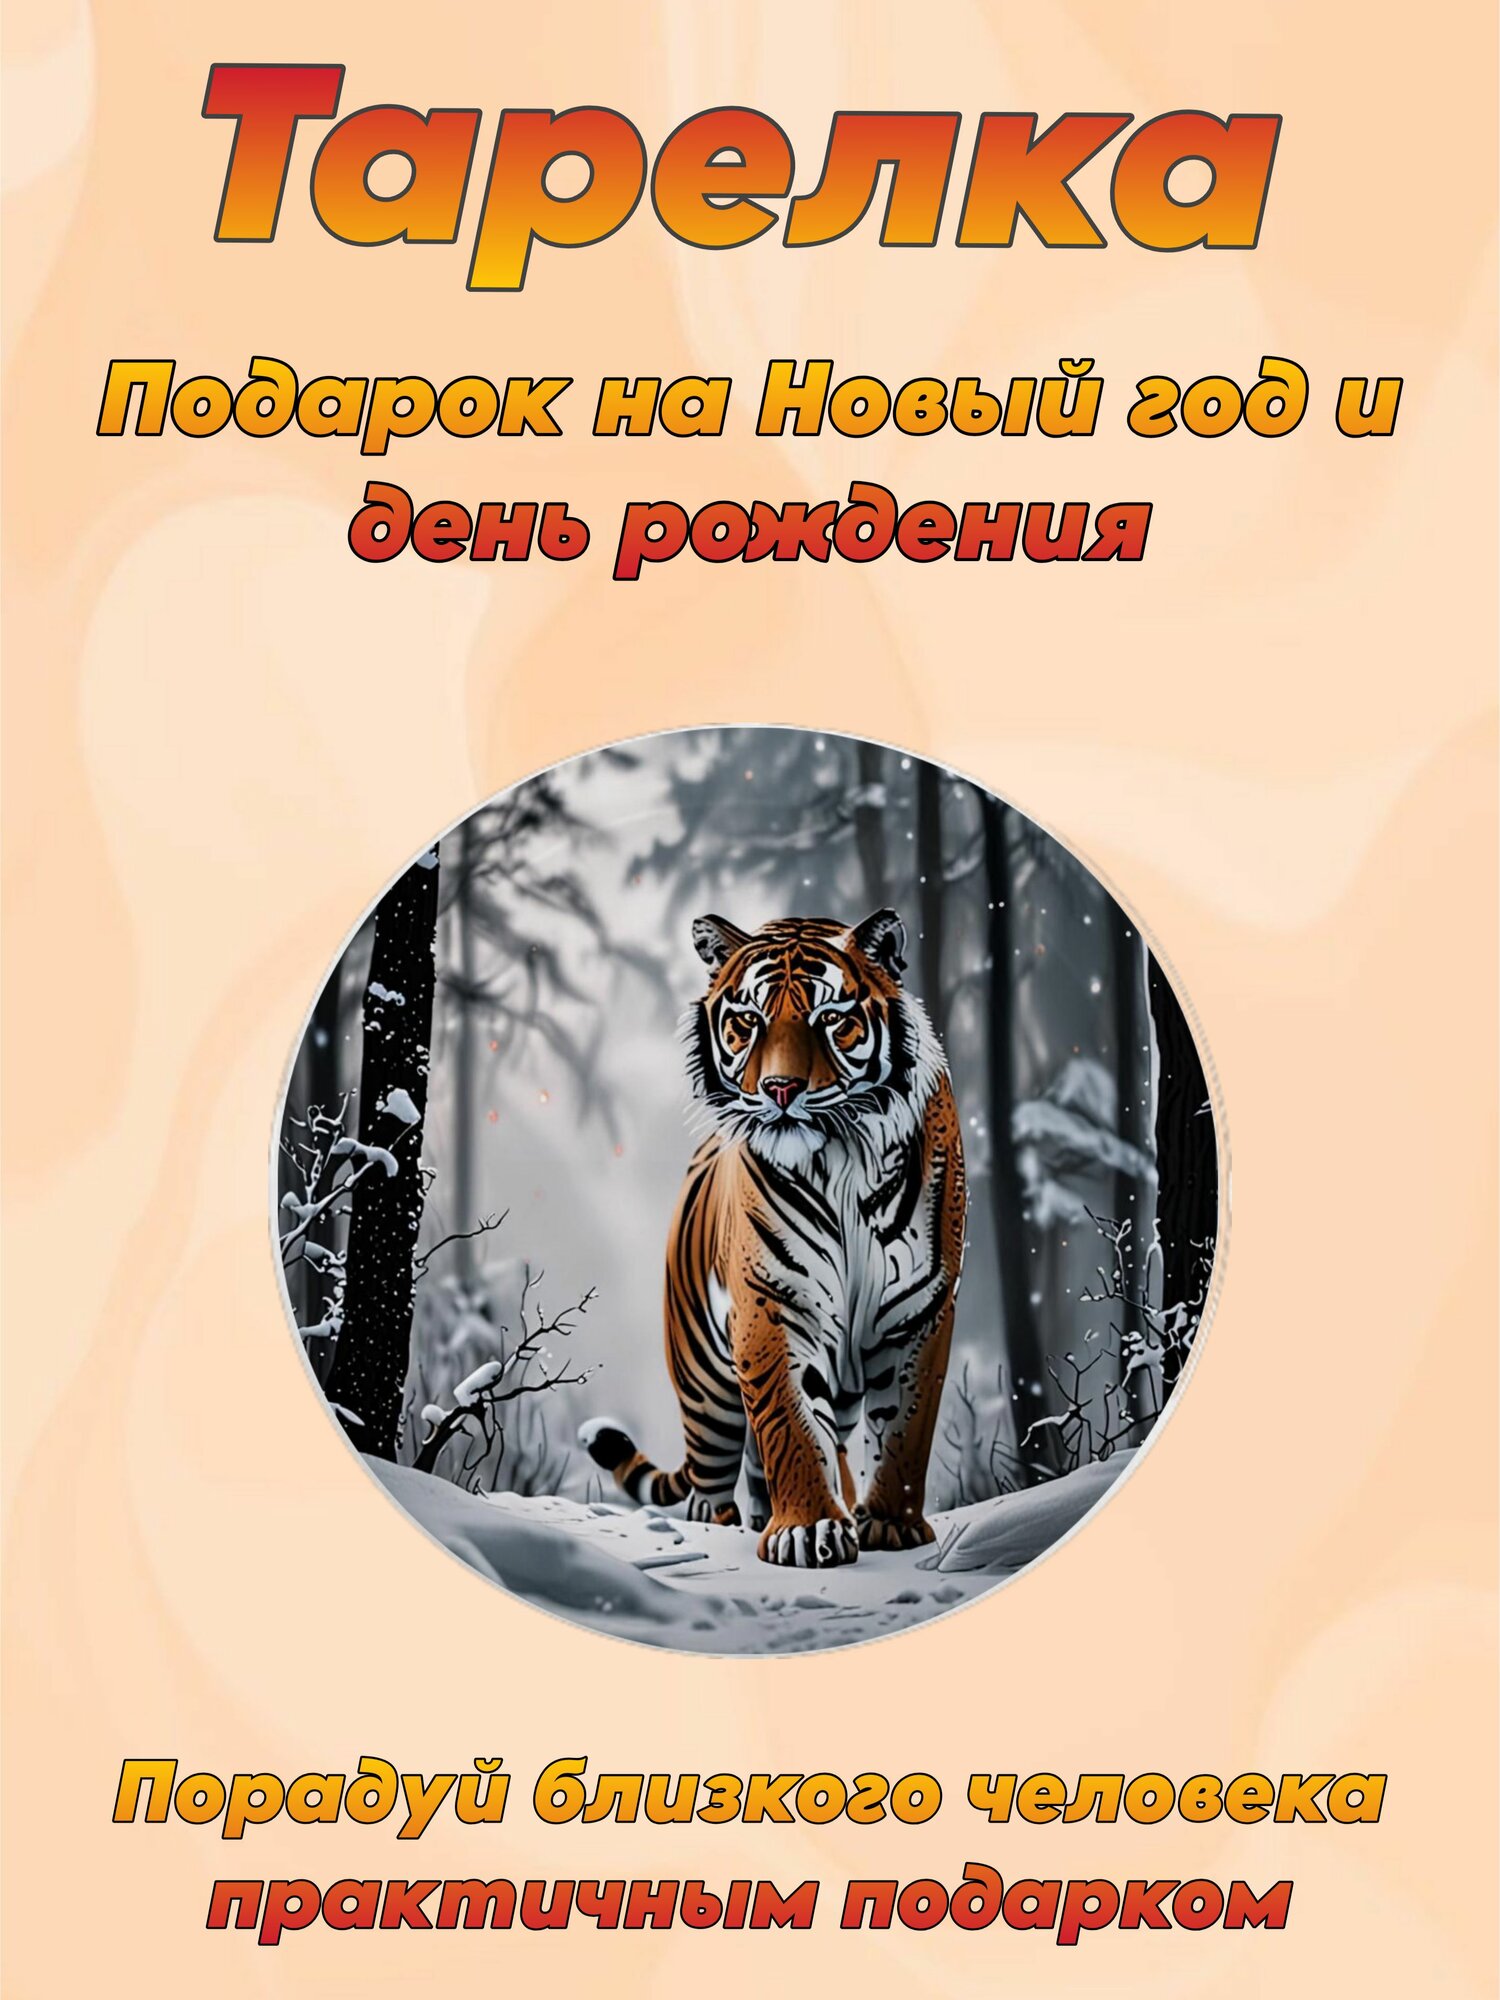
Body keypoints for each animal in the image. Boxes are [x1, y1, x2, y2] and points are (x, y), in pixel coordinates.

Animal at [581, 908, 966, 1568]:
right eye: (748, 1021)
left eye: (830, 1019)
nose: (780, 1089)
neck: (841, 1158)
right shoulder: (773, 1304)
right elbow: (791, 1424)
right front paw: (808, 1531)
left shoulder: (920, 1312)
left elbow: (903, 1428)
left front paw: (890, 1524)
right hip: (705, 1386)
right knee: (712, 1481)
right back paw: (723, 1527)